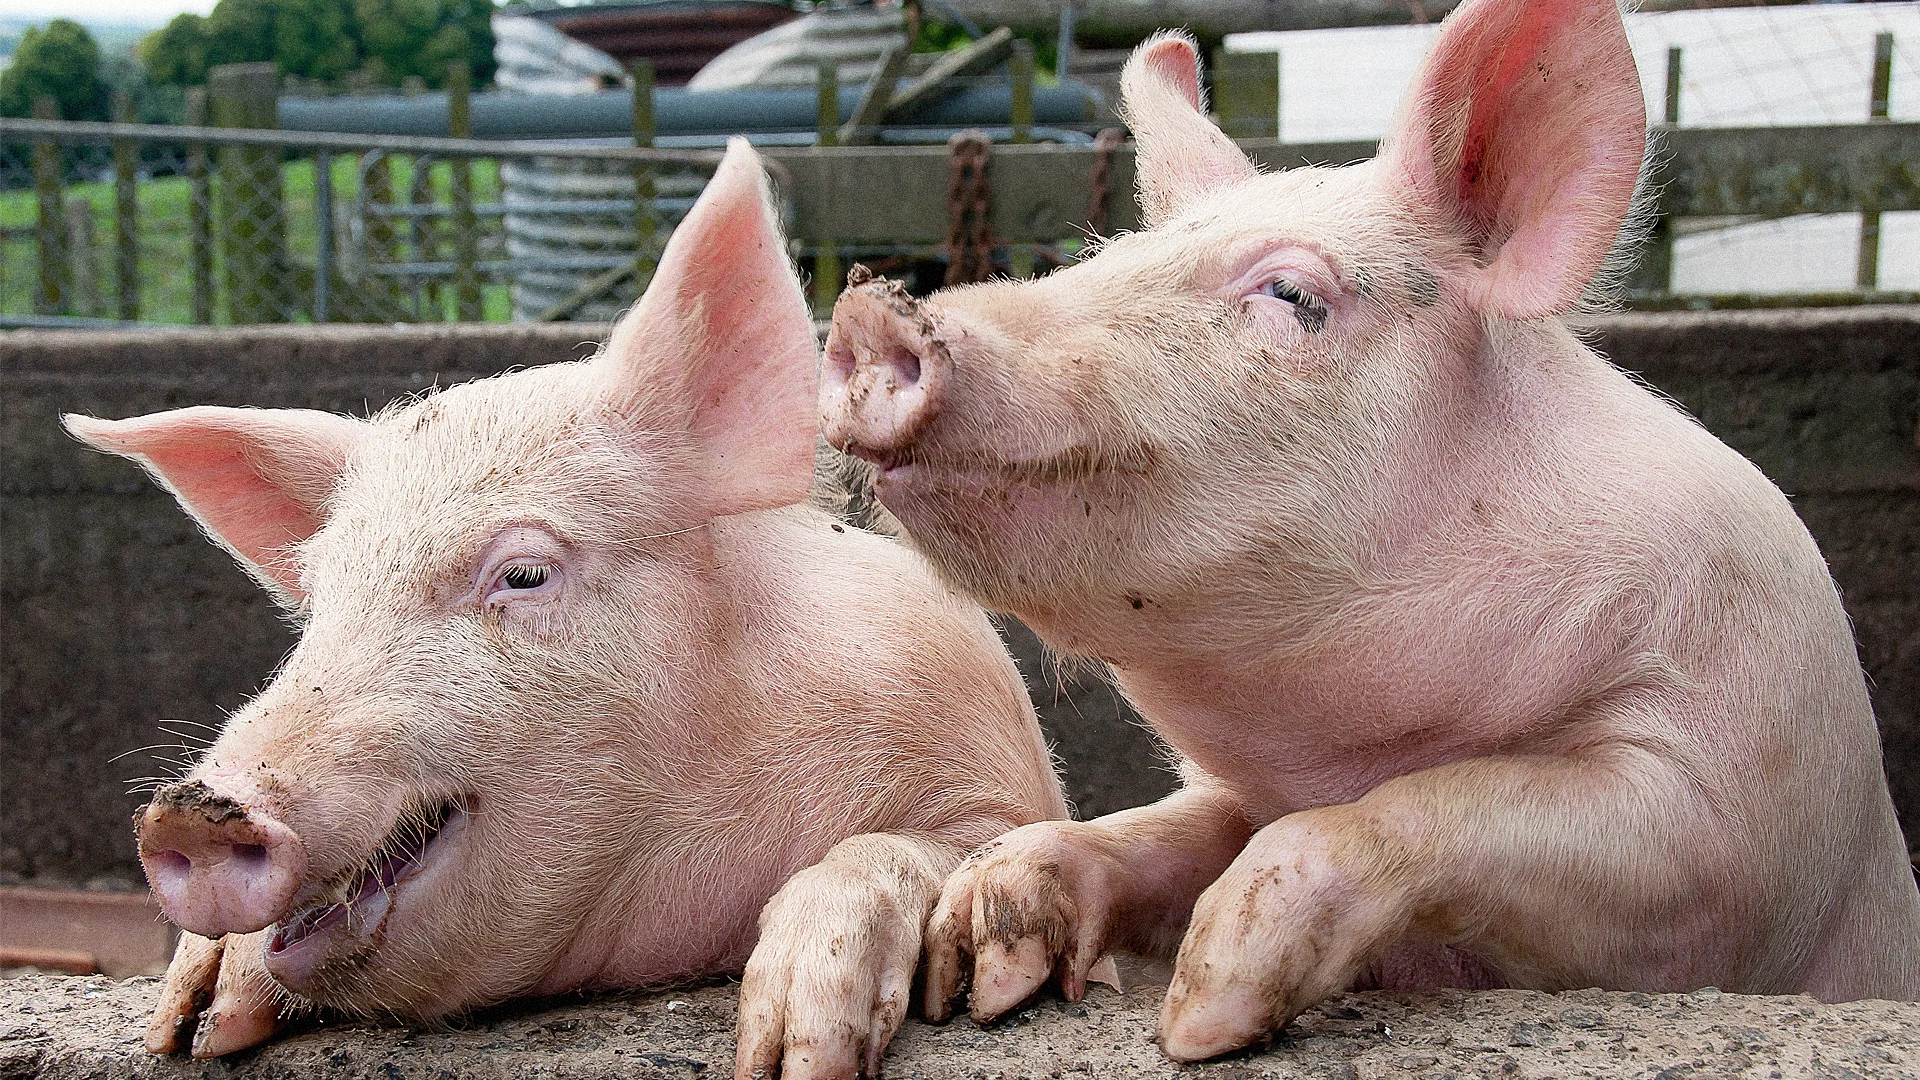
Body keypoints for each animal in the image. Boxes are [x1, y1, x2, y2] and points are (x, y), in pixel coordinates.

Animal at [64, 138, 1066, 1080]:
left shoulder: (984, 757)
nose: (190, 812)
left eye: (524, 575)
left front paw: (796, 1054)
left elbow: (926, 854)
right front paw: (192, 1026)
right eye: (326, 593)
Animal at [820, 0, 1920, 1062]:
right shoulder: (1236, 790)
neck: (1359, 747)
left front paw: (1201, 1013)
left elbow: (1446, 806)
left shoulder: (1731, 819)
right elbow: (1156, 833)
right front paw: (975, 964)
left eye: (1292, 293)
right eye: (1109, 256)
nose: (875, 315)